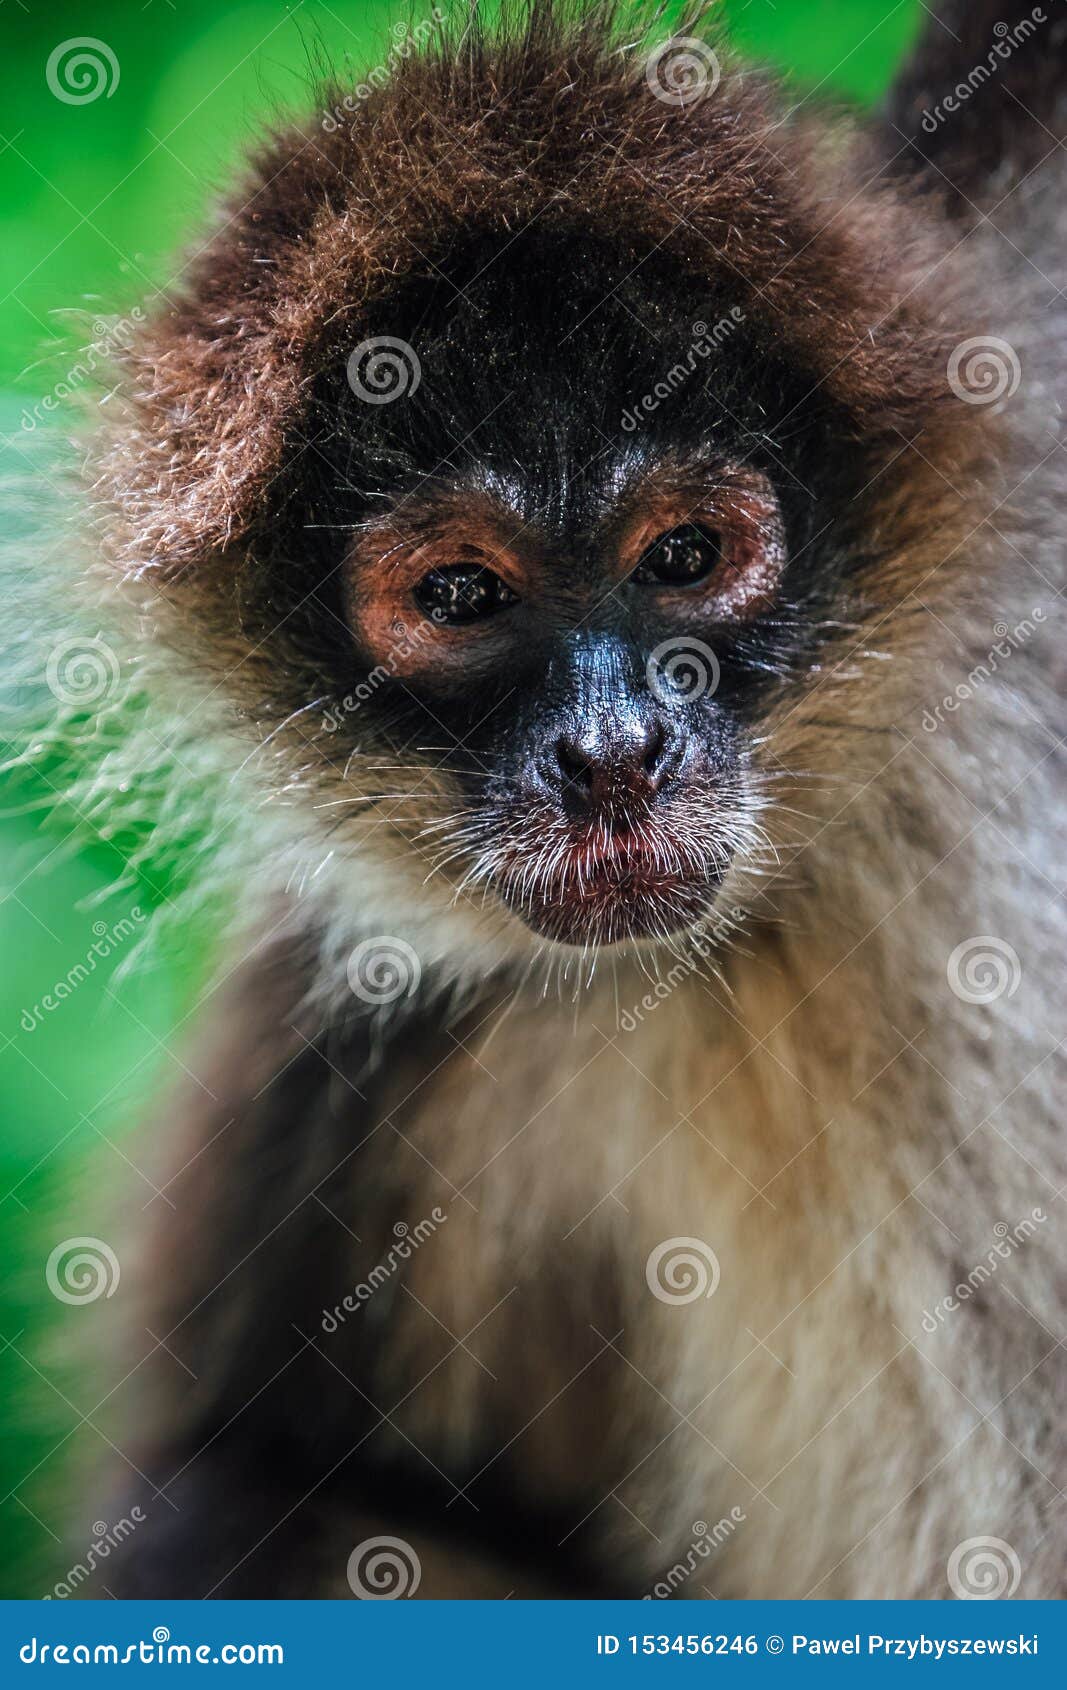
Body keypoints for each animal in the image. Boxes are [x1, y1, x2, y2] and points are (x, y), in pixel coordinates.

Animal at [13, 0, 1065, 1598]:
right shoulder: (375, 1020)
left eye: (685, 557)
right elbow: (207, 1489)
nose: (613, 751)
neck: (752, 938)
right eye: (460, 595)